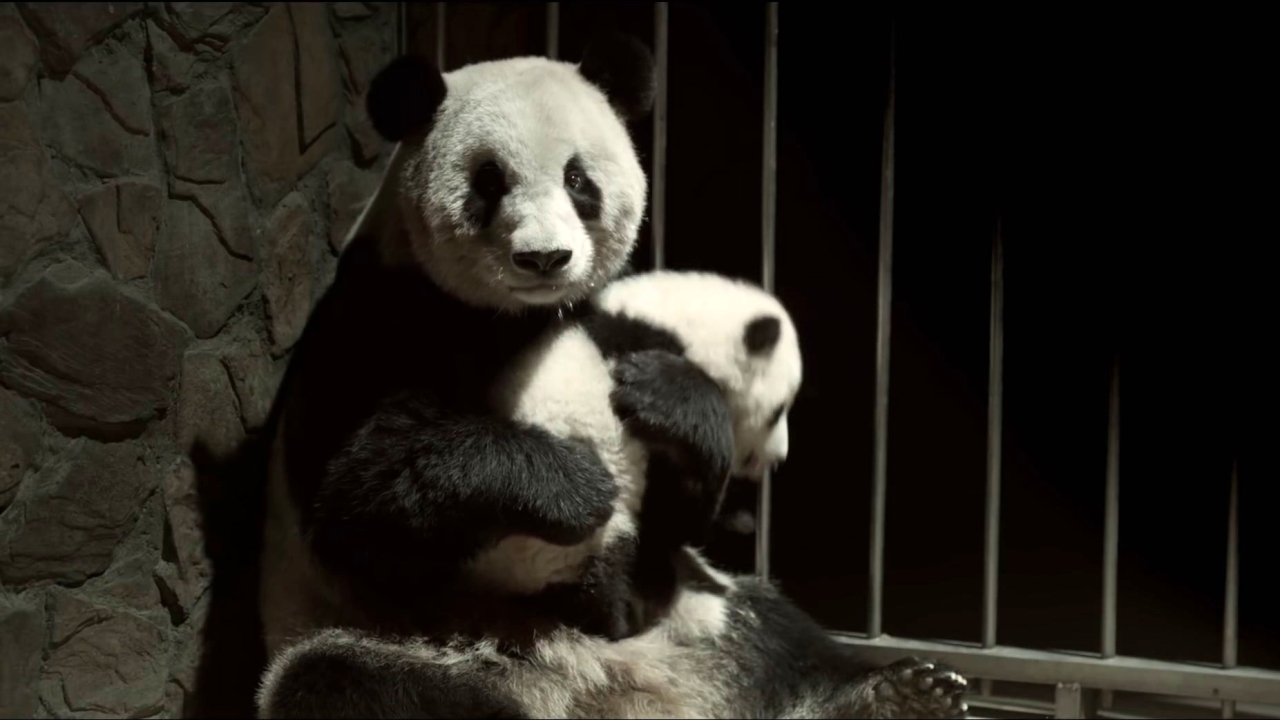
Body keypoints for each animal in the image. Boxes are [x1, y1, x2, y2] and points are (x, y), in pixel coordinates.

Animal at [256, 38, 737, 660]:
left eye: (576, 178)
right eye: (489, 181)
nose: (544, 257)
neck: (519, 318)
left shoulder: (600, 312)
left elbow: (680, 514)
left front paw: (664, 397)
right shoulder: (381, 319)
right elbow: (355, 503)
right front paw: (577, 485)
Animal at [256, 271, 972, 719]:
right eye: (779, 410)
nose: (780, 458)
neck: (652, 319)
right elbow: (363, 505)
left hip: (712, 623)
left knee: (784, 637)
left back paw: (900, 696)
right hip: (464, 653)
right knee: (342, 680)